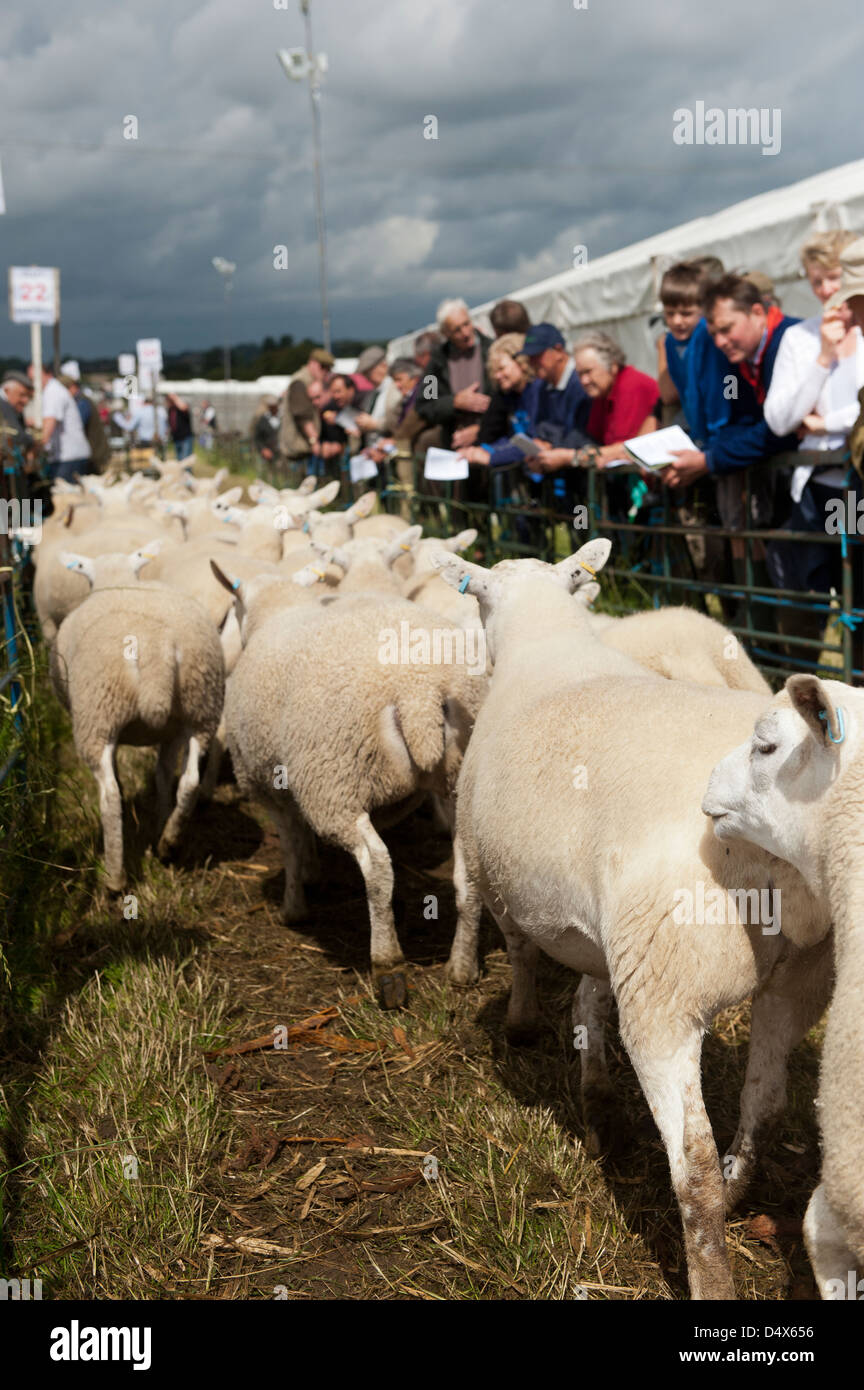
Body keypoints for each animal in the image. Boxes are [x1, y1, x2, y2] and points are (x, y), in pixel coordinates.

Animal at [50, 549, 224, 892]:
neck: (117, 578)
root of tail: (158, 648)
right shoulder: (171, 732)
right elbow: (163, 775)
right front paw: (160, 821)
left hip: (97, 715)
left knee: (109, 796)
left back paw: (114, 877)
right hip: (202, 707)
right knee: (190, 781)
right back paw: (168, 842)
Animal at [216, 566, 488, 1009]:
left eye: (230, 610)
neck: (276, 610)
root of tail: (418, 693)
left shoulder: (267, 783)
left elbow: (290, 843)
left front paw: (294, 906)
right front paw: (313, 874)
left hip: (333, 782)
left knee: (376, 865)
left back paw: (388, 968)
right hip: (457, 783)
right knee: (467, 872)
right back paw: (462, 967)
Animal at [433, 542, 832, 1300]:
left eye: (476, 599)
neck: (546, 641)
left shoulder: (498, 877)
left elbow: (519, 951)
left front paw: (521, 1025)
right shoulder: (597, 929)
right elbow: (589, 997)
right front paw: (594, 1092)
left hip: (665, 987)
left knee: (692, 1167)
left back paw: (711, 1268)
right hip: (799, 974)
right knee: (765, 1103)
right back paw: (739, 1189)